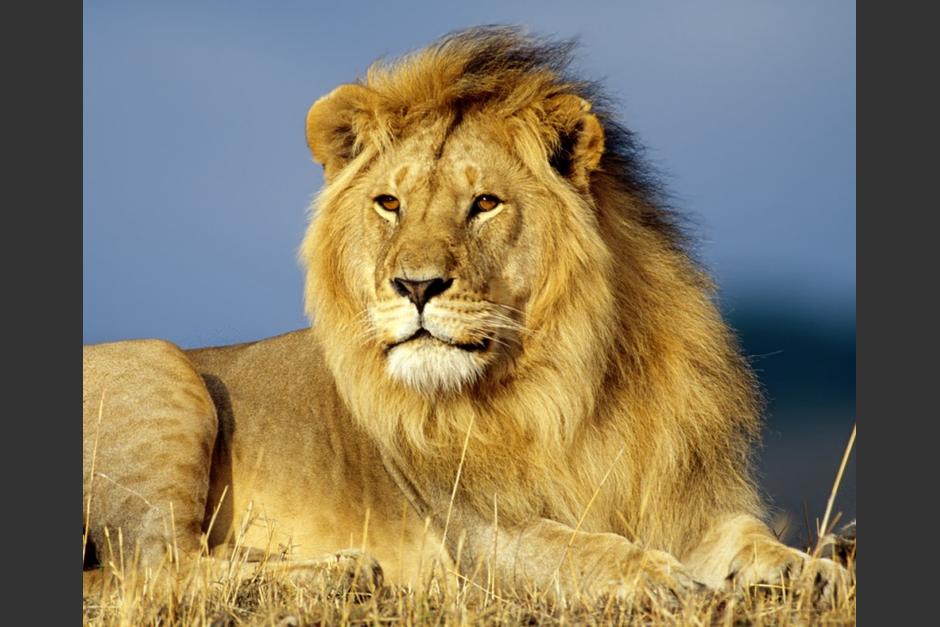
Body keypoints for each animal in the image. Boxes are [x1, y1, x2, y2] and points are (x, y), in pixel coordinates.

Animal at [83, 27, 849, 604]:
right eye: (389, 203)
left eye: (484, 203)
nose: (415, 285)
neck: (570, 381)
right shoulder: (480, 532)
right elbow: (582, 551)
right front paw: (659, 578)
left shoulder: (681, 496)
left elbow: (748, 537)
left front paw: (811, 569)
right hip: (157, 364)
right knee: (151, 570)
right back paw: (338, 572)